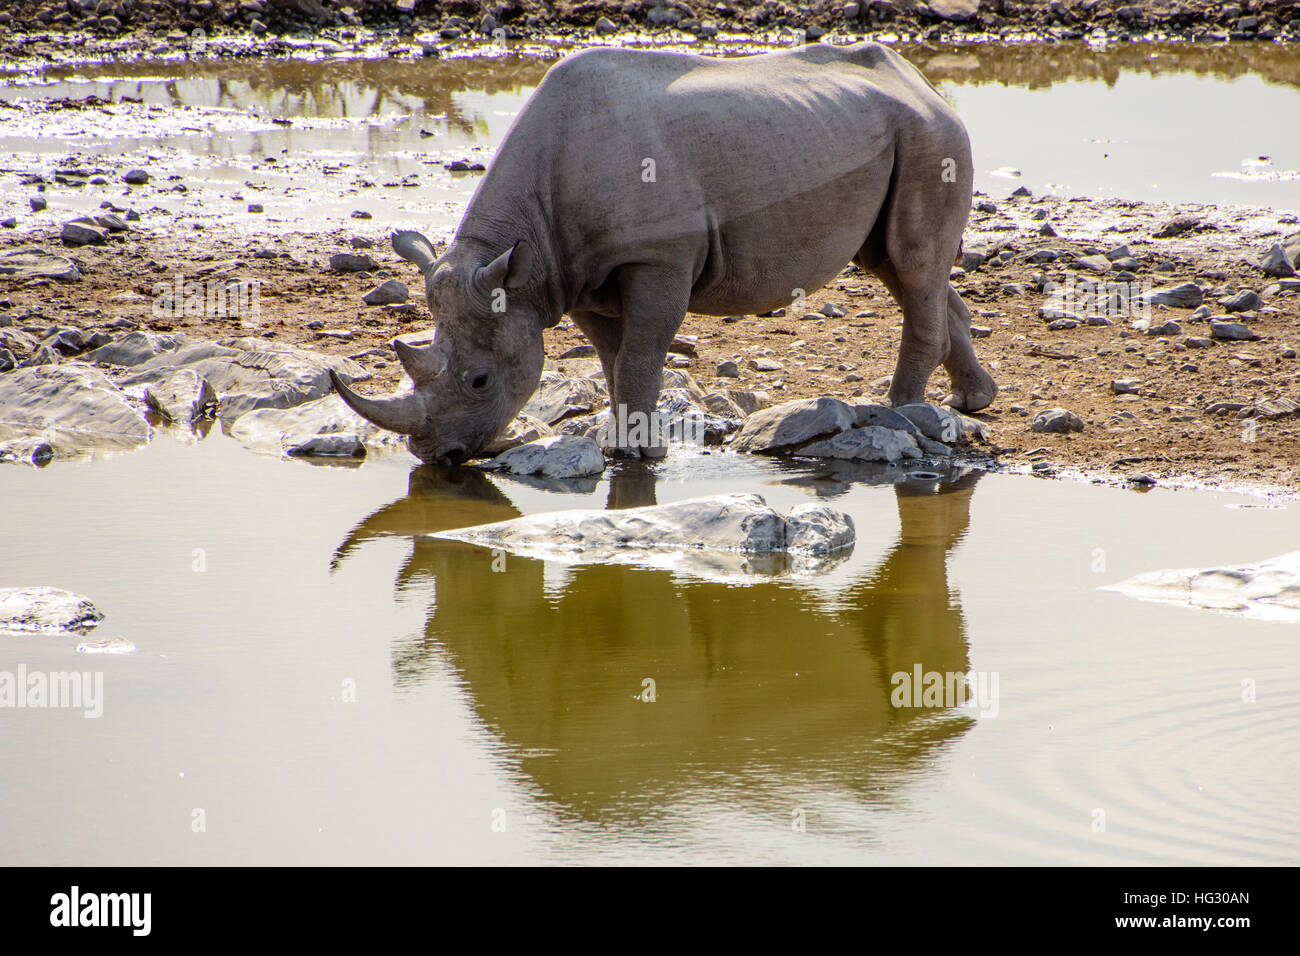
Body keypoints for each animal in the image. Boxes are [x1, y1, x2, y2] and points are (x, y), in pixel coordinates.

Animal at [331, 41, 997, 465]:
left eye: (478, 380)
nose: (434, 457)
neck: (524, 254)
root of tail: (921, 81)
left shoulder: (658, 257)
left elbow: (643, 350)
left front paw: (640, 454)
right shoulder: (570, 274)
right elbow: (612, 356)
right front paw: (623, 443)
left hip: (930, 135)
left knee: (913, 264)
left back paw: (905, 411)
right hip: (882, 132)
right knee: (900, 268)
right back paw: (971, 401)